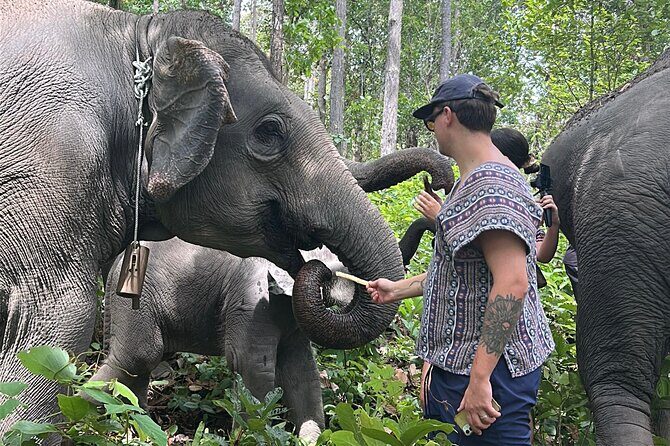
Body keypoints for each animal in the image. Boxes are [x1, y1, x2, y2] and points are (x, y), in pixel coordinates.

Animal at [0, 0, 453, 431]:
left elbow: (302, 374)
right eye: (270, 133)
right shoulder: (55, 159)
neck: (138, 35)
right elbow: (59, 319)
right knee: (136, 355)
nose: (439, 182)